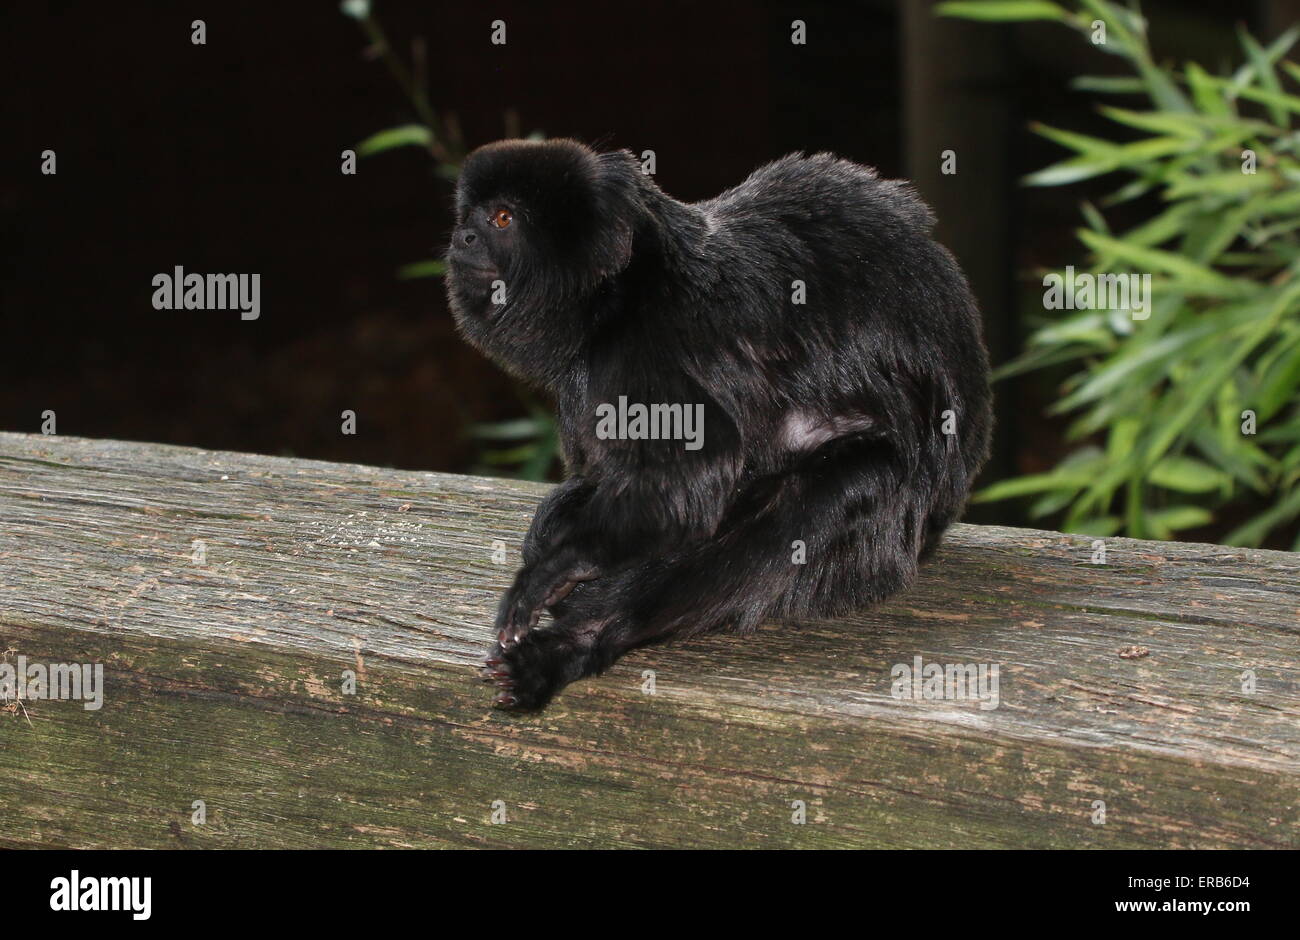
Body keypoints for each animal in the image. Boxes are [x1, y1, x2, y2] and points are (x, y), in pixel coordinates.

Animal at [445, 138, 992, 710]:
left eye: (502, 219)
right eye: (469, 216)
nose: (463, 237)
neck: (617, 295)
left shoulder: (651, 350)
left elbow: (689, 486)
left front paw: (561, 567)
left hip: (891, 534)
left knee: (844, 485)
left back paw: (572, 647)